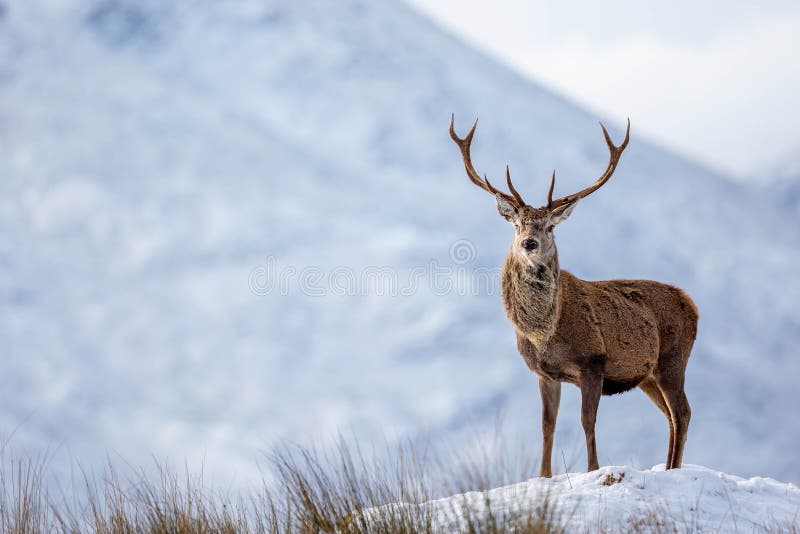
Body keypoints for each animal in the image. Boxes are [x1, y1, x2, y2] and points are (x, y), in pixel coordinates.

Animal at [449, 115, 698, 477]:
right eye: (517, 224)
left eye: (550, 227)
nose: (529, 243)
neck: (544, 334)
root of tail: (692, 304)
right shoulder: (544, 373)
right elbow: (547, 425)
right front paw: (543, 475)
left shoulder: (592, 361)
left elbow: (587, 420)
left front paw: (593, 468)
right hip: (648, 375)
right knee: (669, 415)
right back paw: (667, 467)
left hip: (673, 357)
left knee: (682, 411)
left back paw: (675, 469)